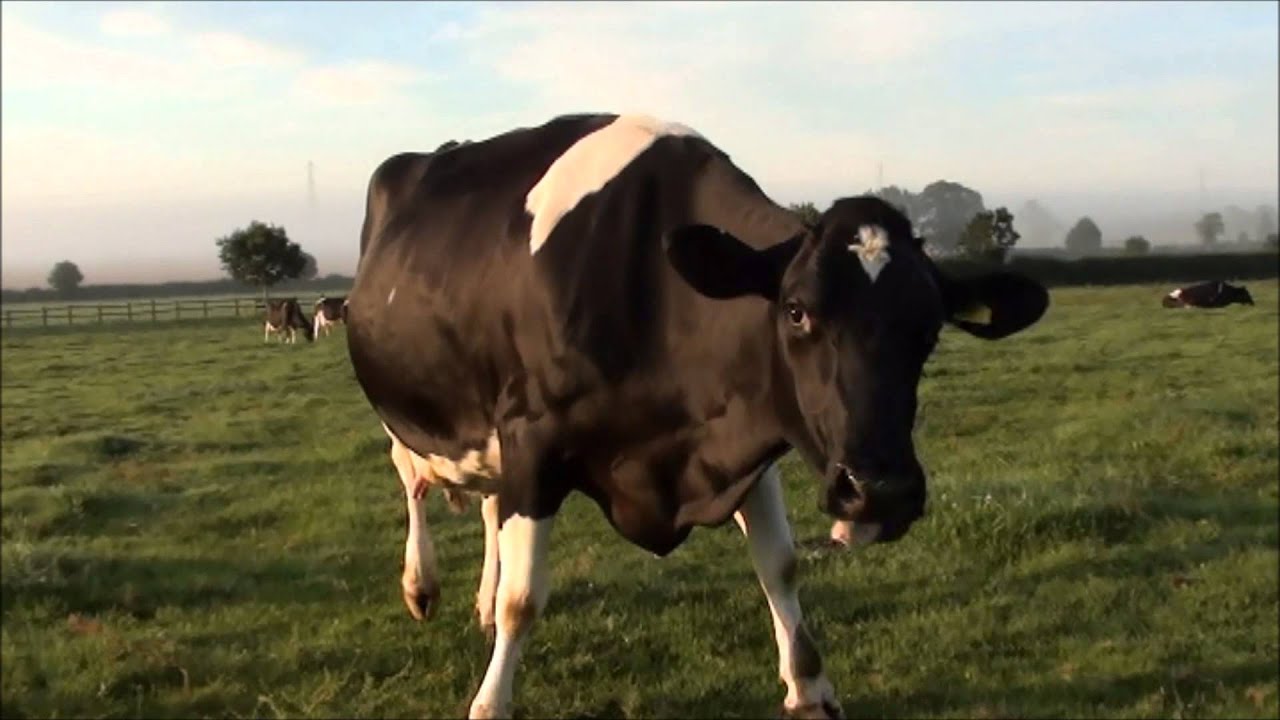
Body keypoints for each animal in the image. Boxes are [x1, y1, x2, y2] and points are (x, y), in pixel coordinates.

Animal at [343, 112, 1050, 719]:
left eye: (930, 327)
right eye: (796, 311)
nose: (883, 491)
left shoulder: (744, 435)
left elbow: (780, 563)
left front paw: (809, 686)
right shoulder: (531, 438)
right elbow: (525, 600)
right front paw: (491, 702)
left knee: (490, 506)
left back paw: (480, 604)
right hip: (407, 412)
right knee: (412, 483)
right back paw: (422, 586)